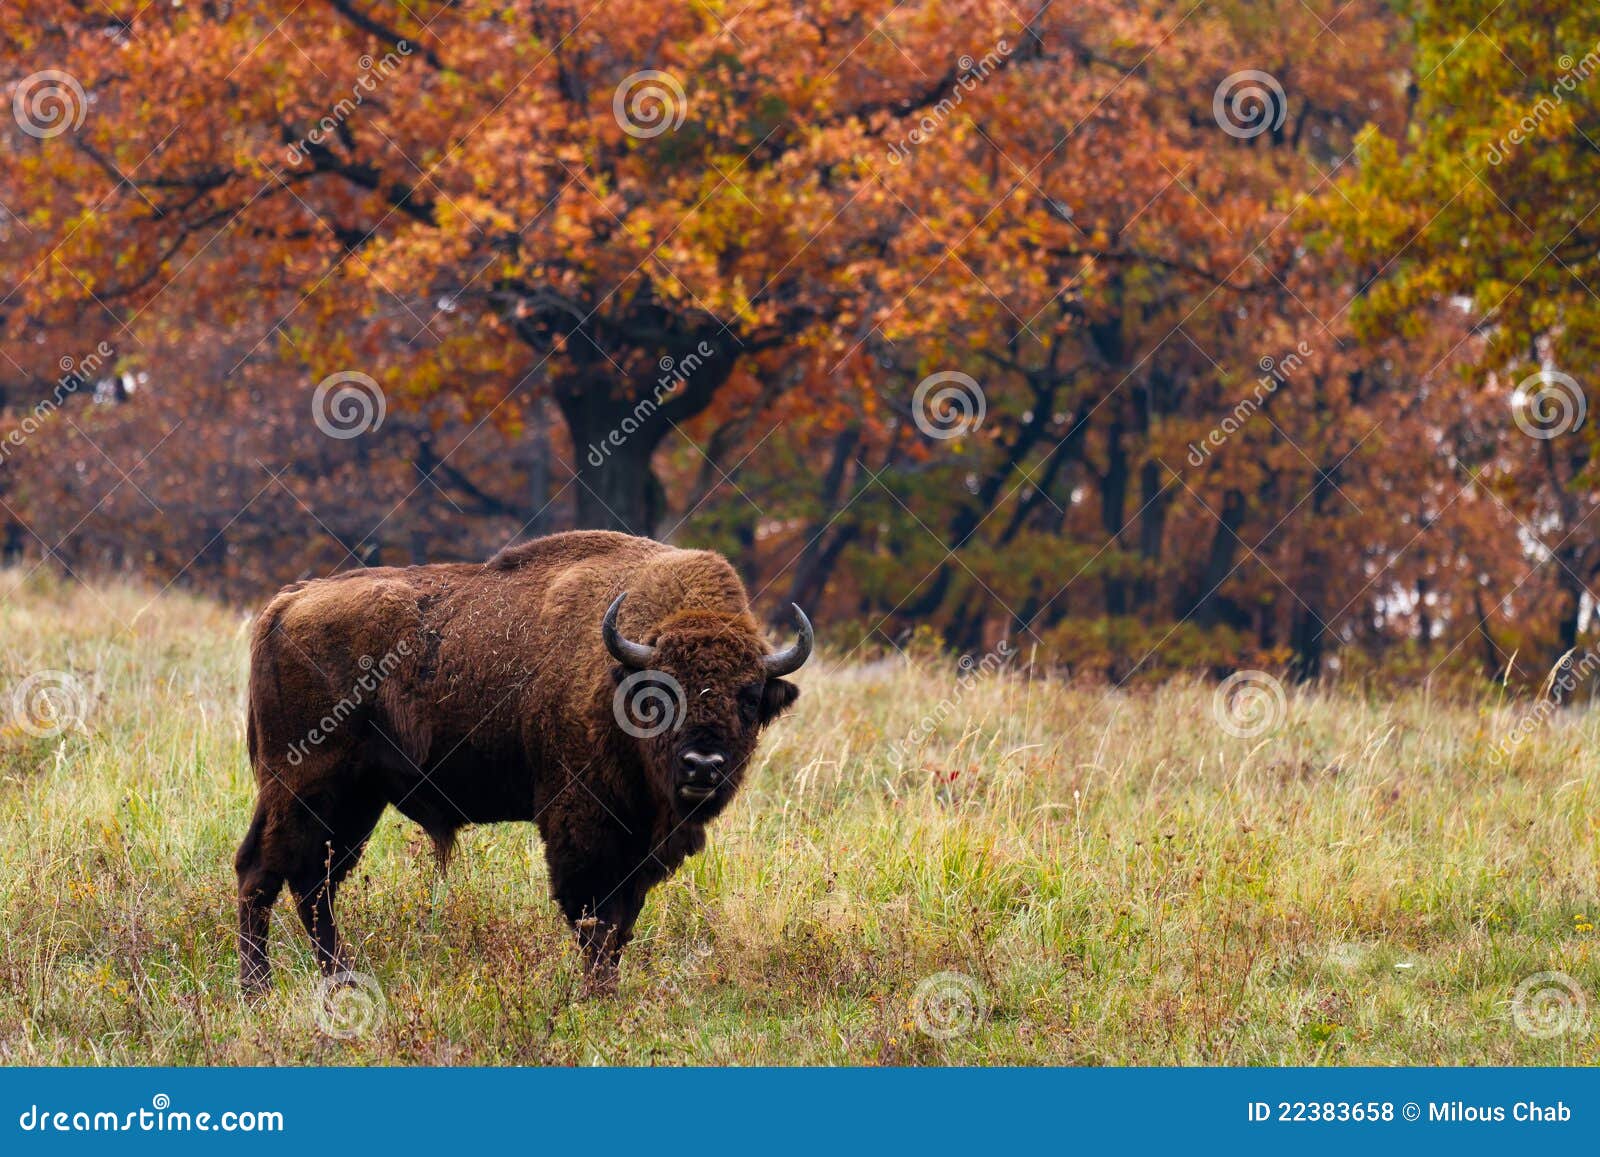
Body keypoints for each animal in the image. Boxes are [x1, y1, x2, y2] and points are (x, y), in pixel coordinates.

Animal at [235, 530, 811, 995]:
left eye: (749, 697)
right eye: (659, 695)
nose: (702, 765)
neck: (618, 679)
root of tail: (290, 601)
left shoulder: (640, 846)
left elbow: (621, 924)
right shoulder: (583, 827)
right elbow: (595, 920)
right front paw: (597, 997)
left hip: (356, 800)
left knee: (314, 883)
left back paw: (339, 982)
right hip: (302, 785)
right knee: (263, 871)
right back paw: (258, 990)